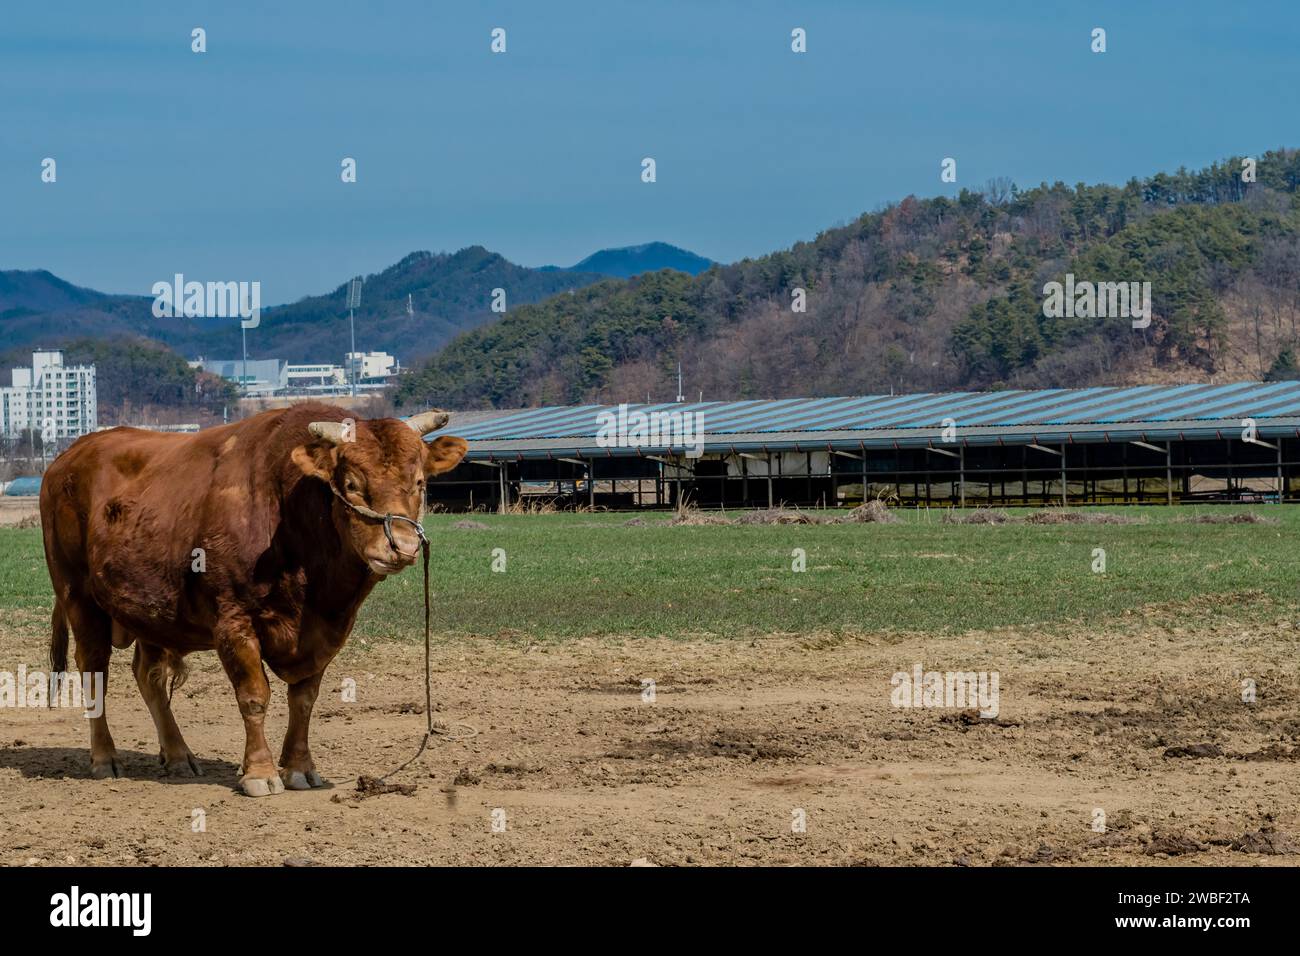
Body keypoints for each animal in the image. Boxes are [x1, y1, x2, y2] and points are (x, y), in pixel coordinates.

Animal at [39, 402, 467, 796]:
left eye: (420, 482)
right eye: (350, 484)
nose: (402, 546)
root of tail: (67, 458)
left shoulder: (326, 632)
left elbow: (304, 700)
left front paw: (299, 768)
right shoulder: (234, 621)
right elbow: (254, 696)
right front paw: (260, 773)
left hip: (149, 611)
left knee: (150, 676)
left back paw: (178, 756)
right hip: (79, 597)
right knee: (94, 671)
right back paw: (105, 757)